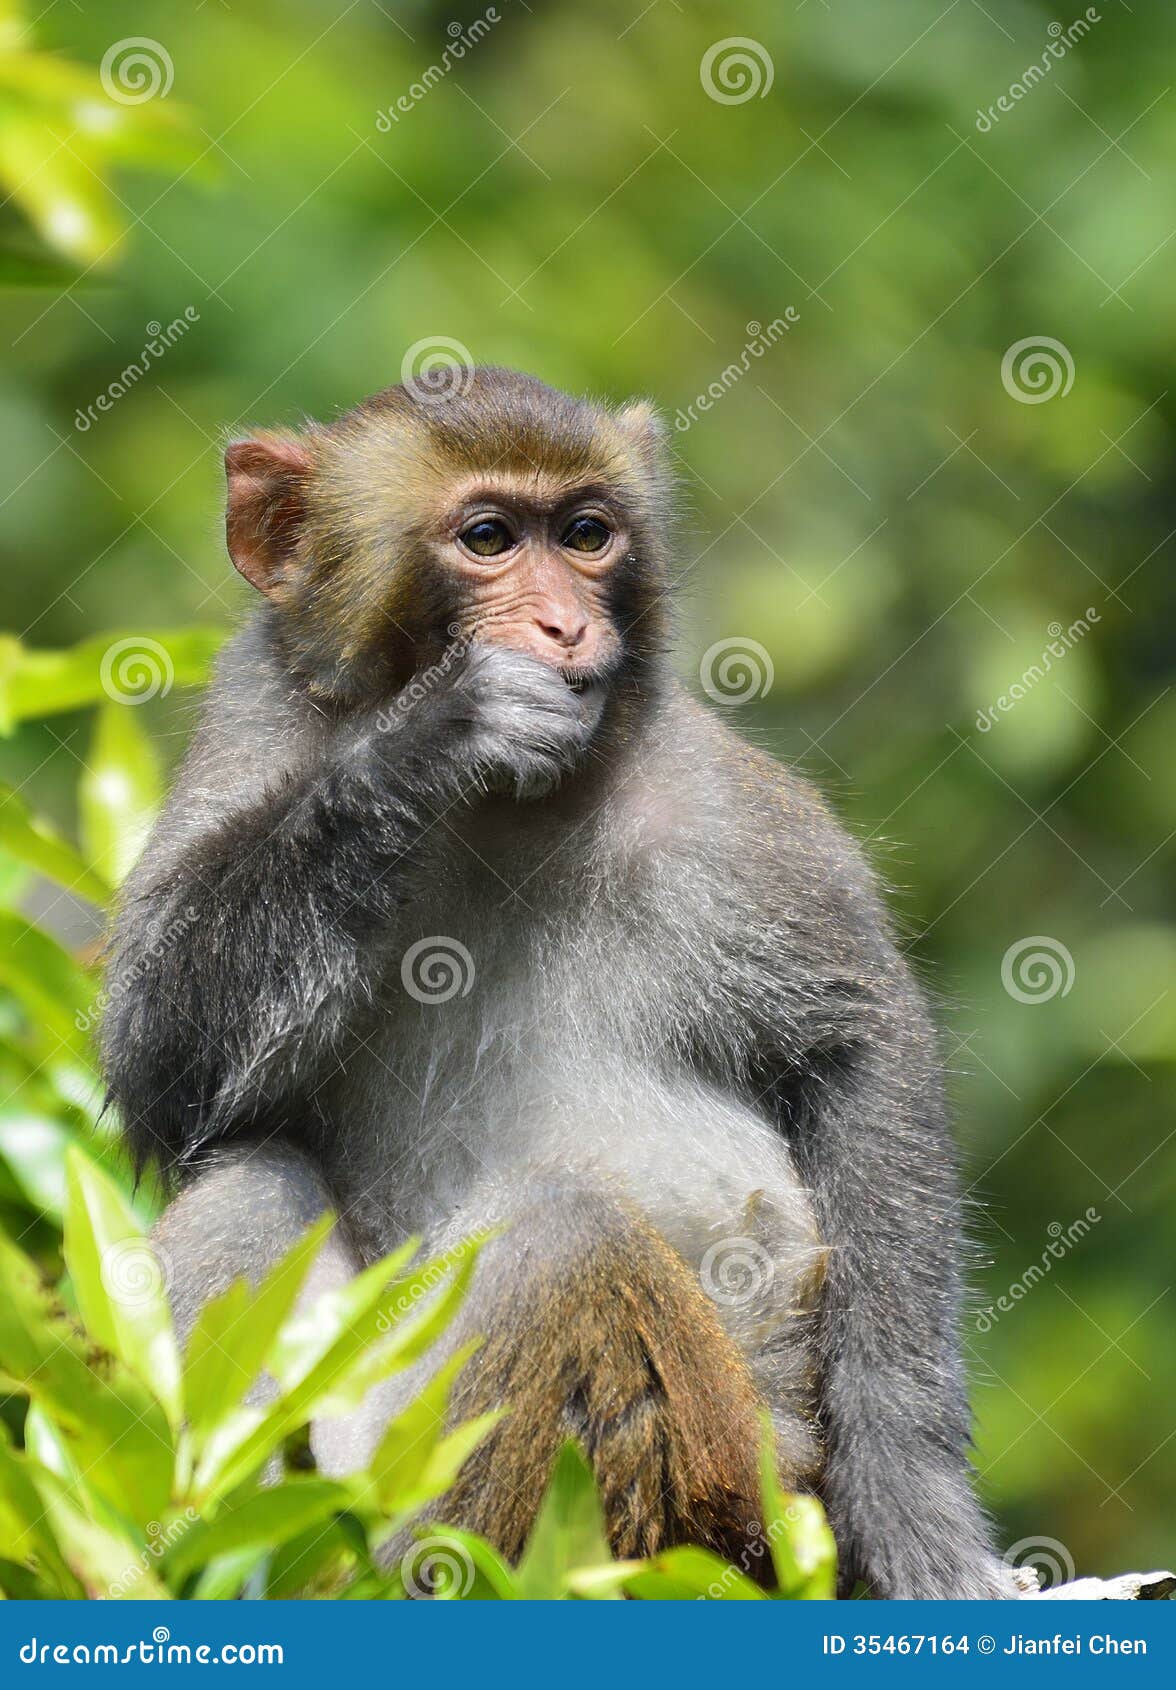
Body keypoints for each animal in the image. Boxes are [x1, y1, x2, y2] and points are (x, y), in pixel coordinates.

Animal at [101, 367, 1010, 1599]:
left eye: (586, 534)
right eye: (488, 538)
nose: (566, 624)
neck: (503, 805)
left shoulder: (718, 802)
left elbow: (861, 1053)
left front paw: (913, 1504)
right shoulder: (258, 721)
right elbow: (164, 1070)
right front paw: (433, 734)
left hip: (713, 1487)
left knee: (564, 1232)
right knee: (258, 1180)